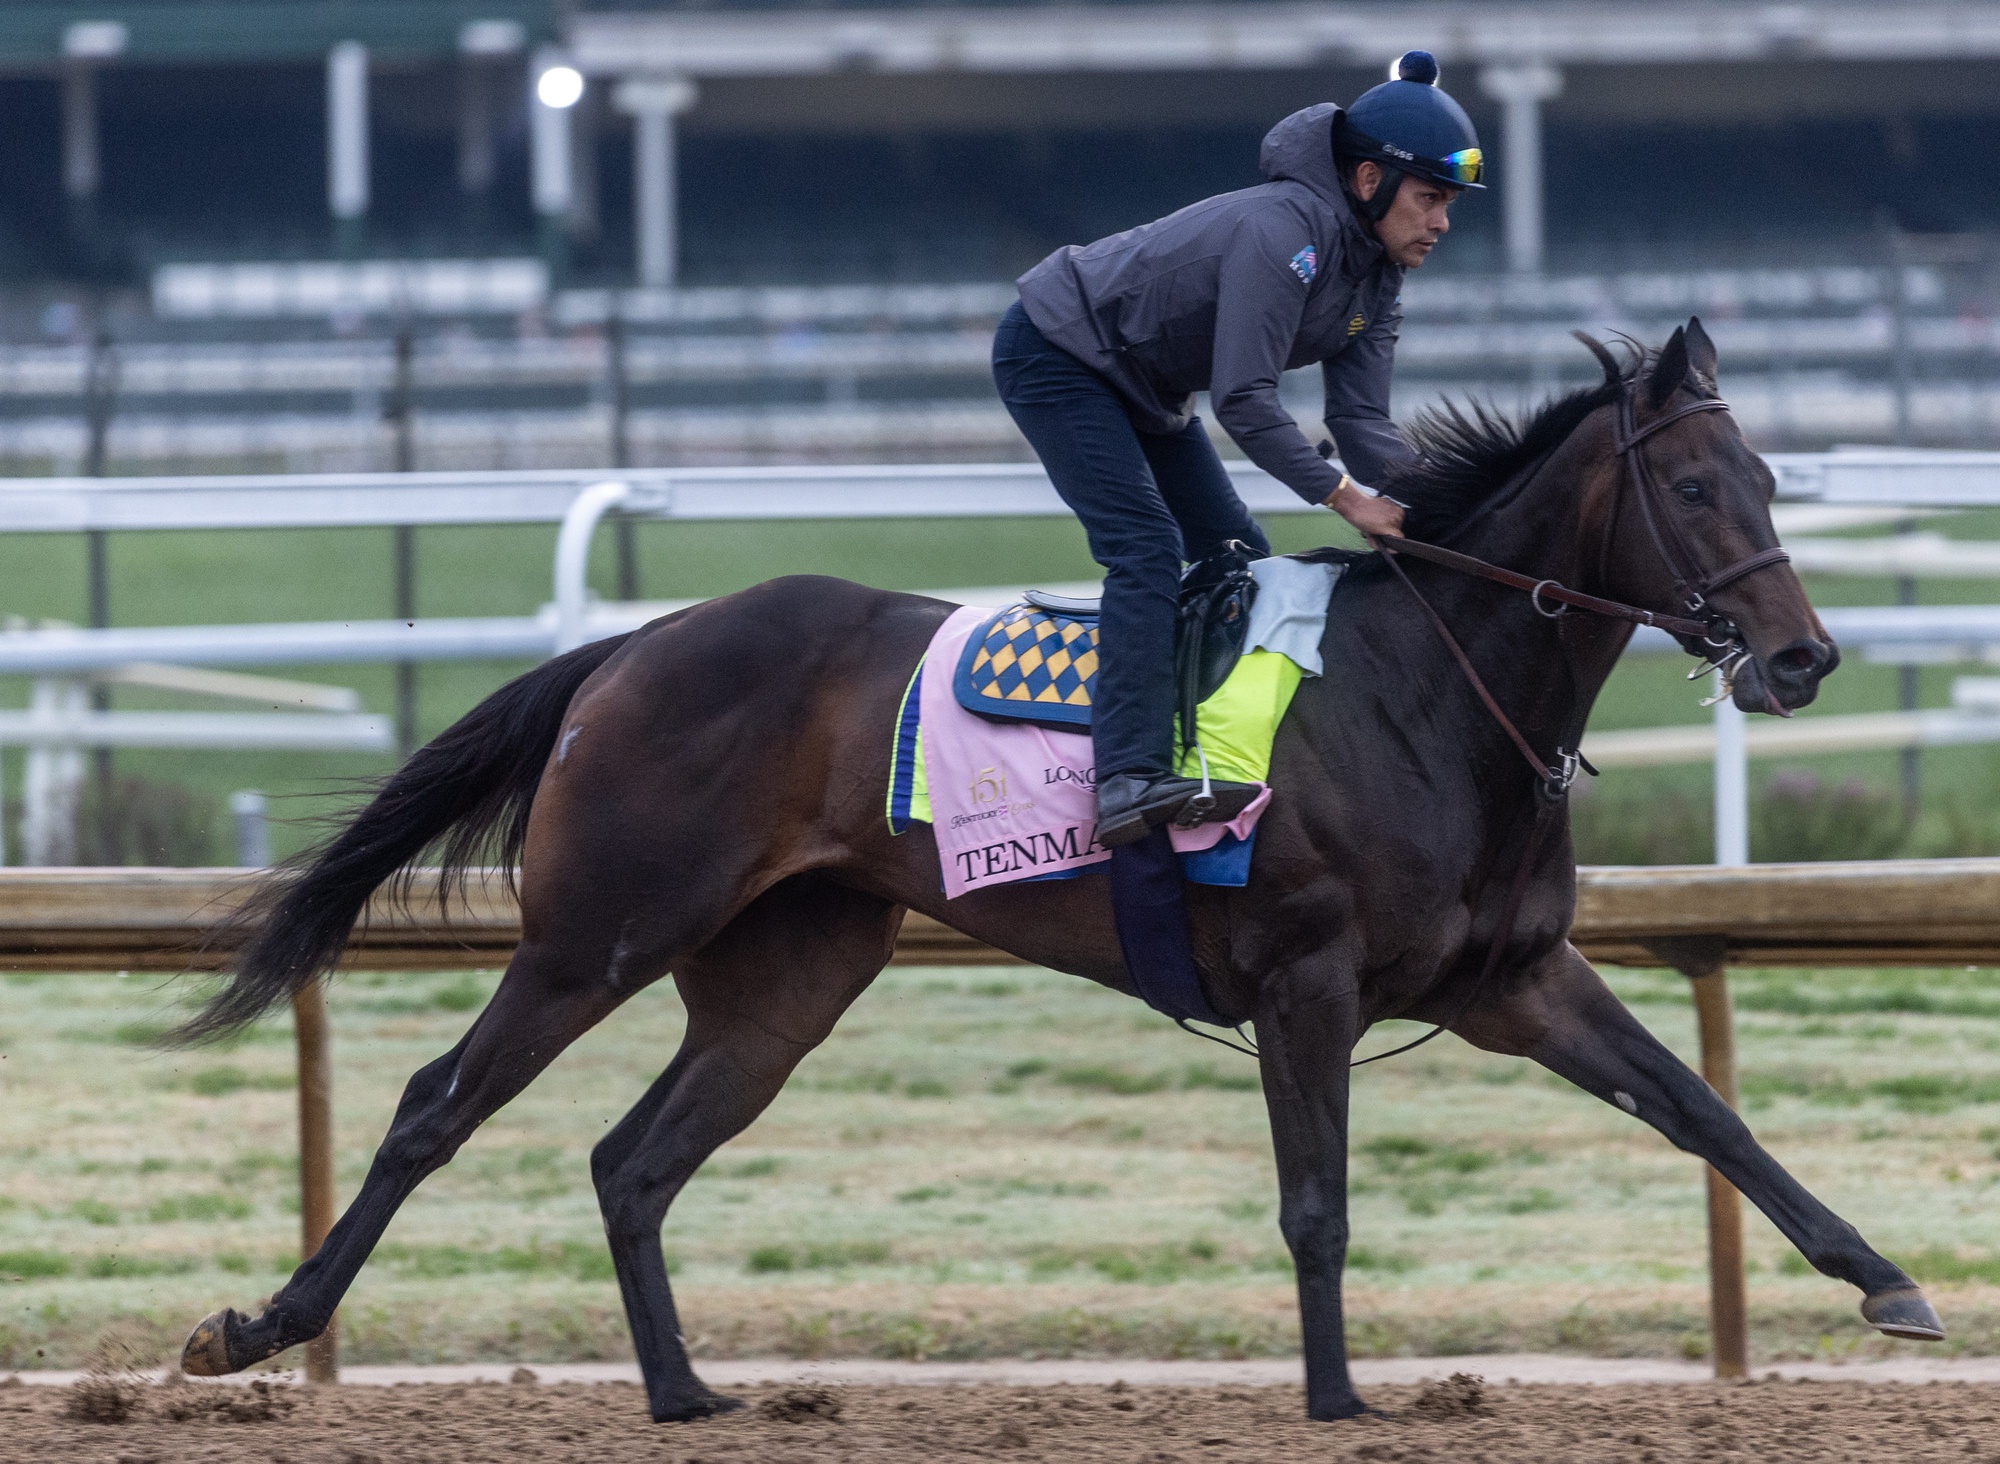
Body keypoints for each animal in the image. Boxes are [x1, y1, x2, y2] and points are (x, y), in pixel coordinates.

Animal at [174, 318, 1942, 1423]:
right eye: (1695, 486)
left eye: (1772, 483)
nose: (1803, 657)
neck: (1431, 691)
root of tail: (631, 646)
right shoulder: (1305, 984)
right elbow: (1317, 1201)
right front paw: (1336, 1394)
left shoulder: (1511, 978)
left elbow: (1702, 1110)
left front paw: (1887, 1283)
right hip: (594, 933)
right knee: (437, 1108)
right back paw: (259, 1328)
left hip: (788, 972)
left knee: (634, 1160)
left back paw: (681, 1391)